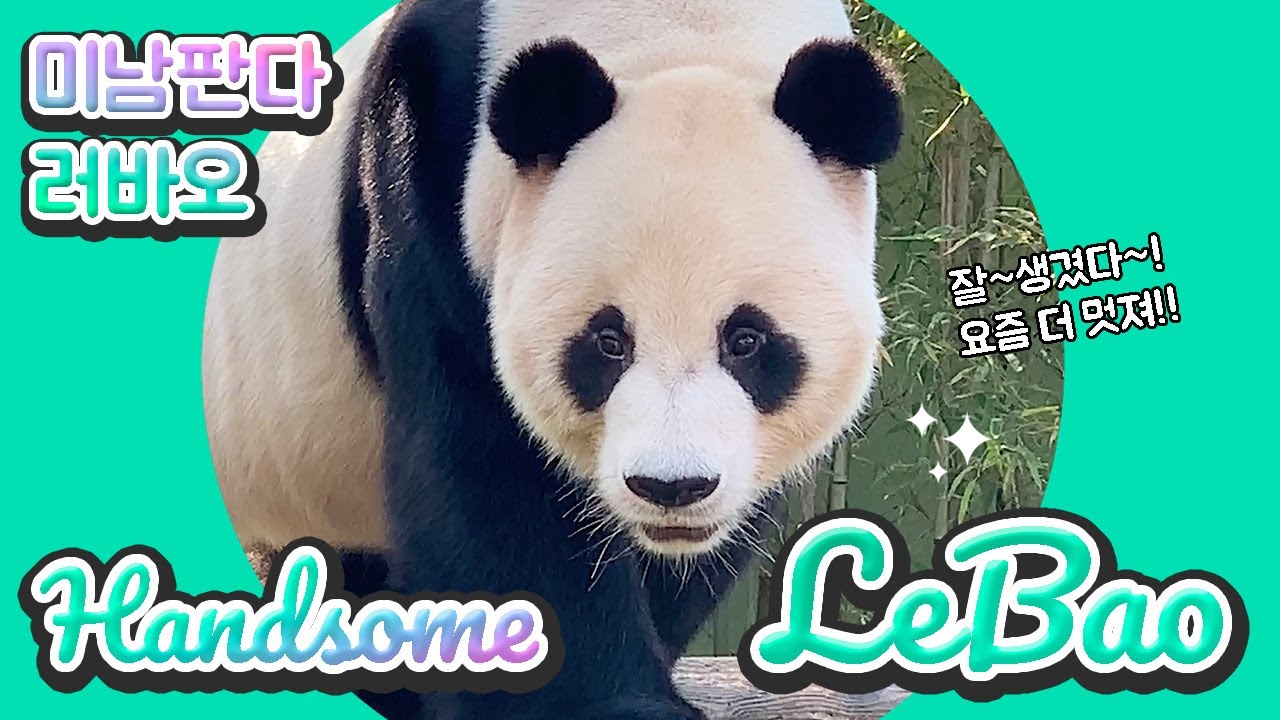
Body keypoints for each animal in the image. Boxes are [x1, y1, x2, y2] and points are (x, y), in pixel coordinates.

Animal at [202, 0, 902, 718]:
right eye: (608, 341)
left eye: (746, 340)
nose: (671, 487)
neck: (686, 33)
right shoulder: (429, 179)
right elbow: (486, 472)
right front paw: (613, 700)